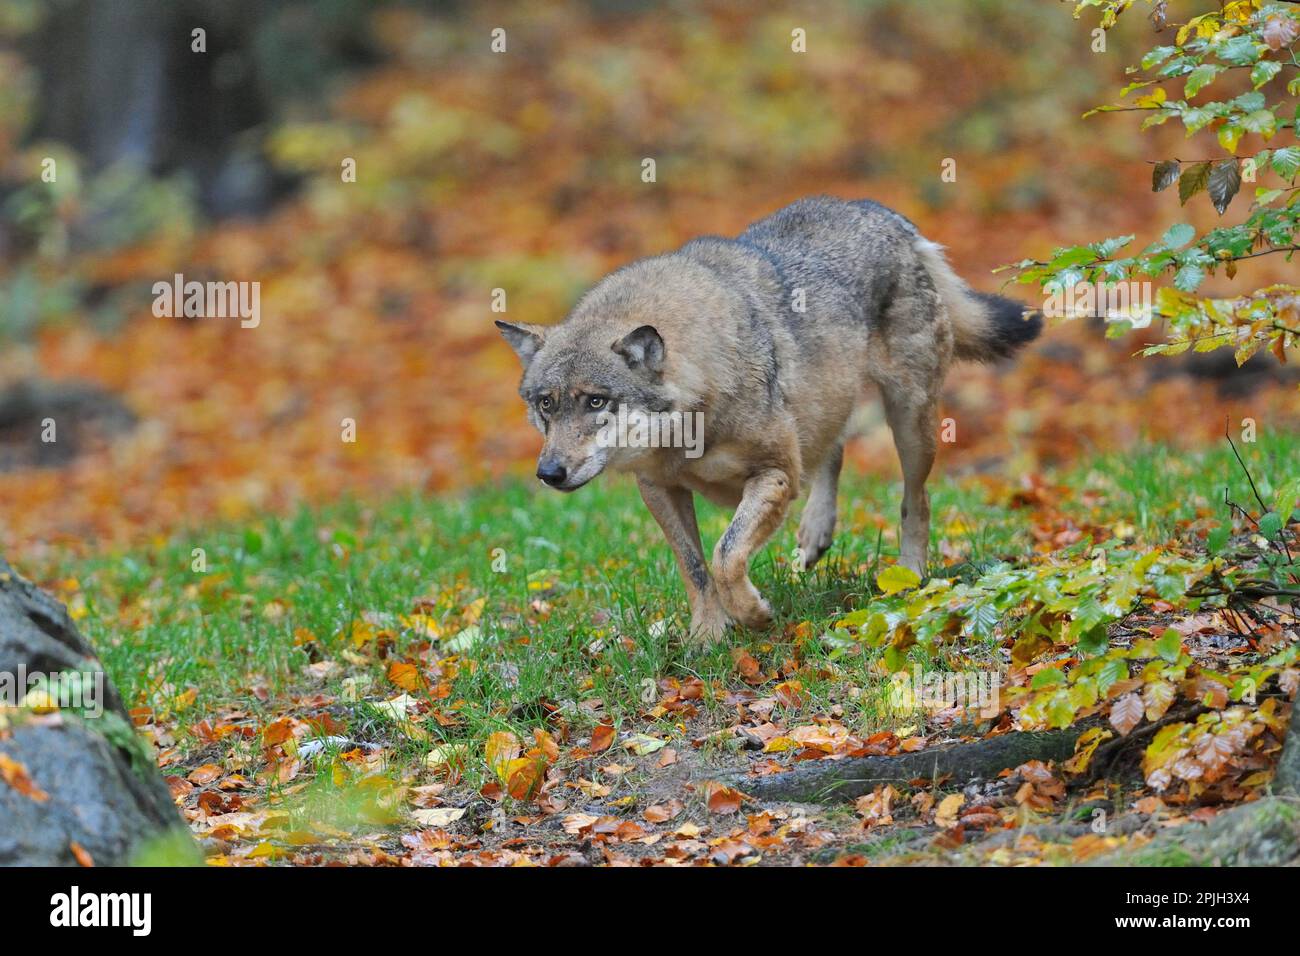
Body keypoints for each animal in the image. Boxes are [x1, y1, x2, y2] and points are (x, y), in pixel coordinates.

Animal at [498, 196, 1041, 643]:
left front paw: (753, 613)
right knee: (833, 451)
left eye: (595, 402)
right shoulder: (658, 489)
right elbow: (695, 567)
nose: (549, 473)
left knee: (916, 499)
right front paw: (707, 637)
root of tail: (884, 214)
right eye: (546, 405)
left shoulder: (774, 474)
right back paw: (815, 534)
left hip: (909, 421)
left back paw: (909, 576)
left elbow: (725, 556)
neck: (691, 423)